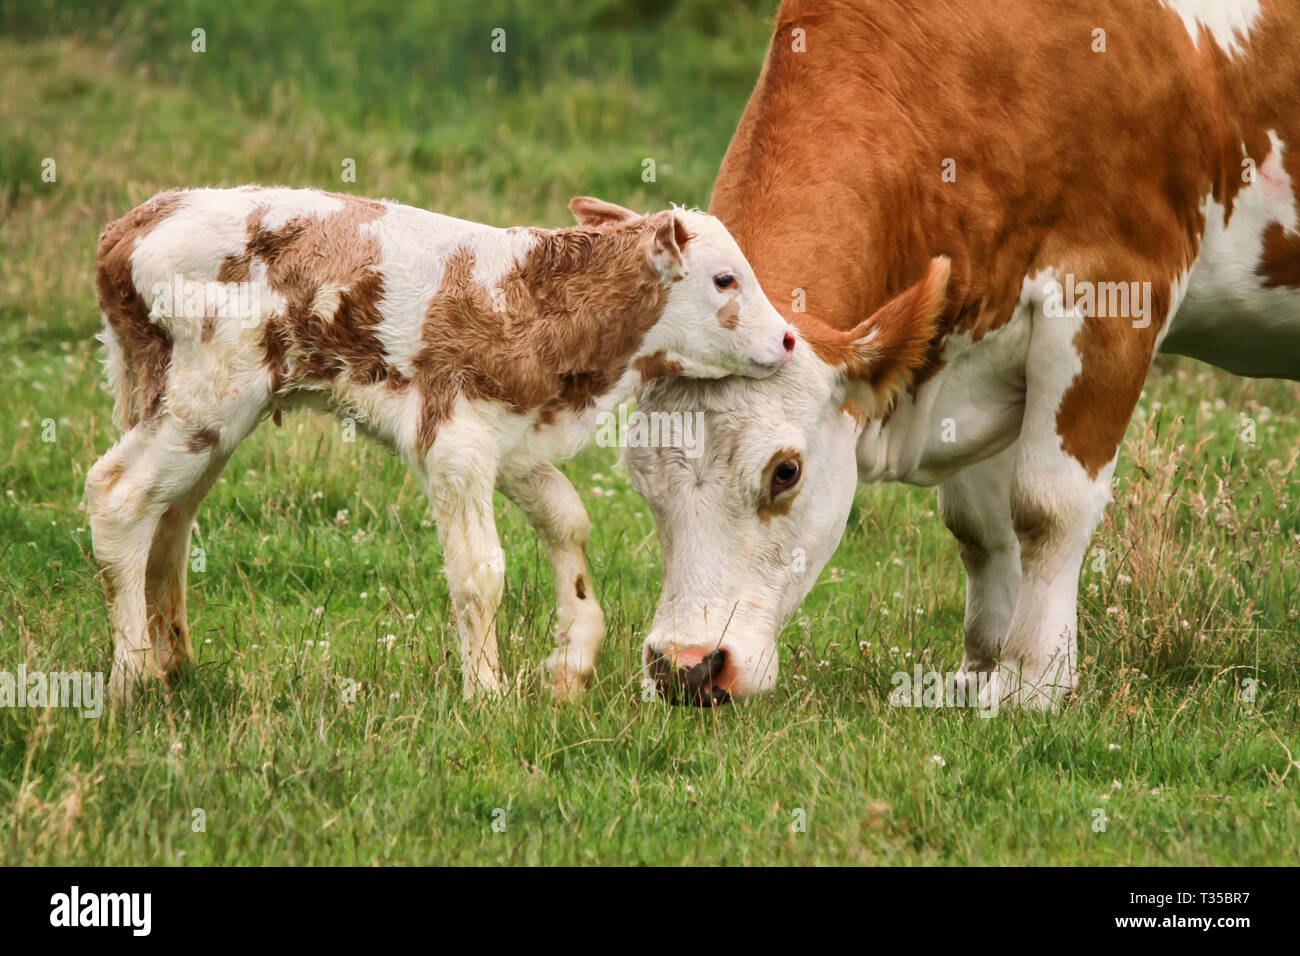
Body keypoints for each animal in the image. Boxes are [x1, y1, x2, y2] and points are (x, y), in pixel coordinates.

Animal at [87, 187, 796, 701]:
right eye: (725, 280)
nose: (789, 338)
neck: (532, 302)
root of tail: (133, 225)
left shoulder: (515, 441)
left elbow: (569, 522)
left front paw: (571, 662)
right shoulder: (455, 440)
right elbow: (481, 572)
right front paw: (487, 695)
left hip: (204, 414)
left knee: (170, 518)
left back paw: (176, 665)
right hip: (207, 396)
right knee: (117, 494)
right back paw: (133, 677)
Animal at [609, 0, 1300, 707]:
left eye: (785, 472)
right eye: (640, 475)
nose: (687, 667)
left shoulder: (1113, 290)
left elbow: (1048, 507)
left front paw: (1031, 680)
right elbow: (982, 525)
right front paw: (980, 669)